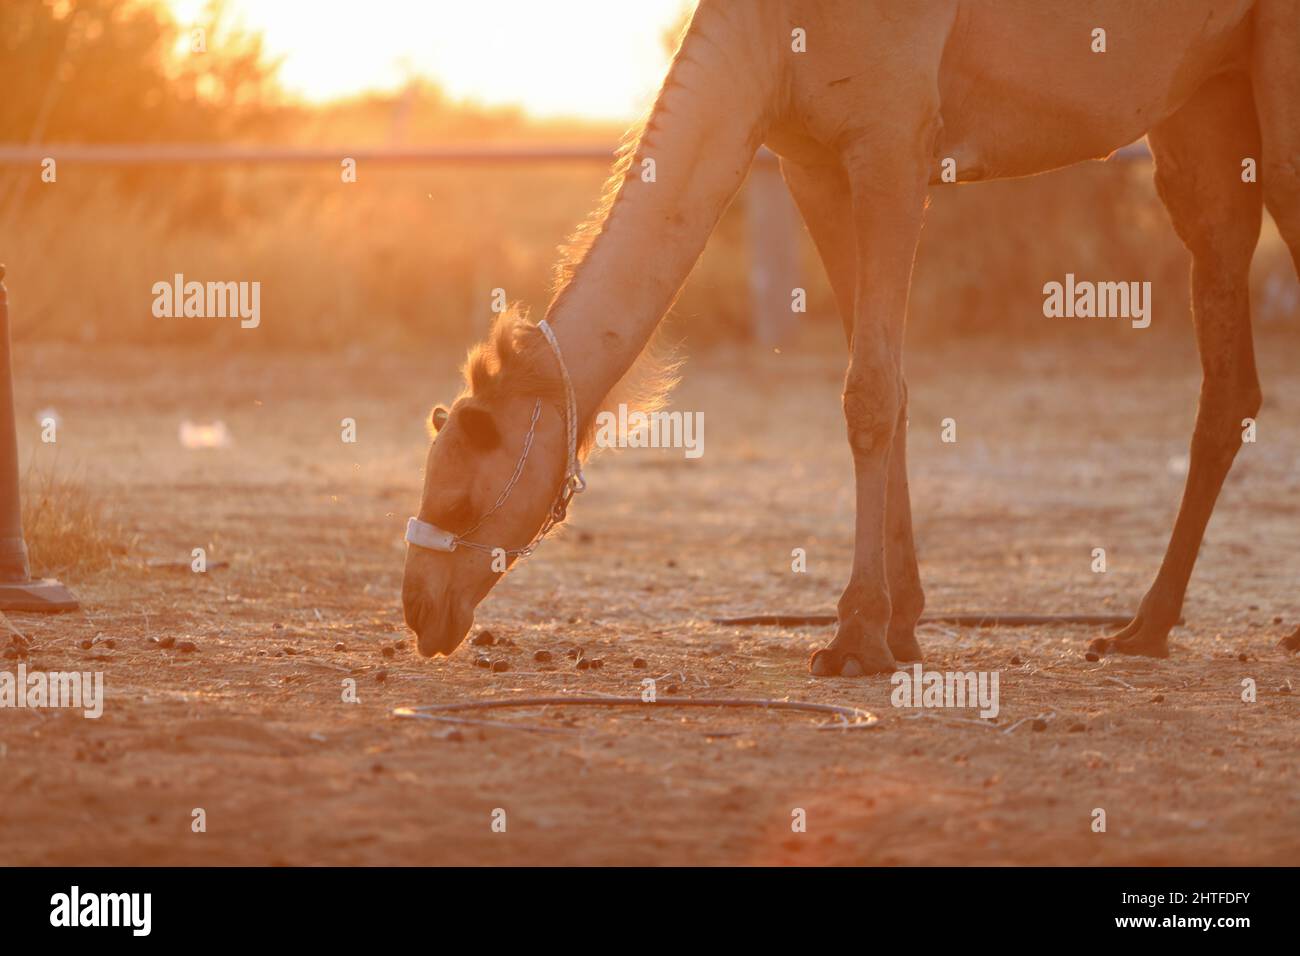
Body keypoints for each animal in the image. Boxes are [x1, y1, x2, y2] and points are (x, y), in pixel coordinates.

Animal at [403, 0, 1300, 675]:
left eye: (459, 497)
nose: (417, 607)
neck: (774, 31)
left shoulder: (893, 149)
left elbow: (867, 395)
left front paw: (857, 638)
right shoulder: (814, 166)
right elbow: (887, 389)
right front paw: (901, 627)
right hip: (1205, 100)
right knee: (1228, 370)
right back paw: (1144, 629)